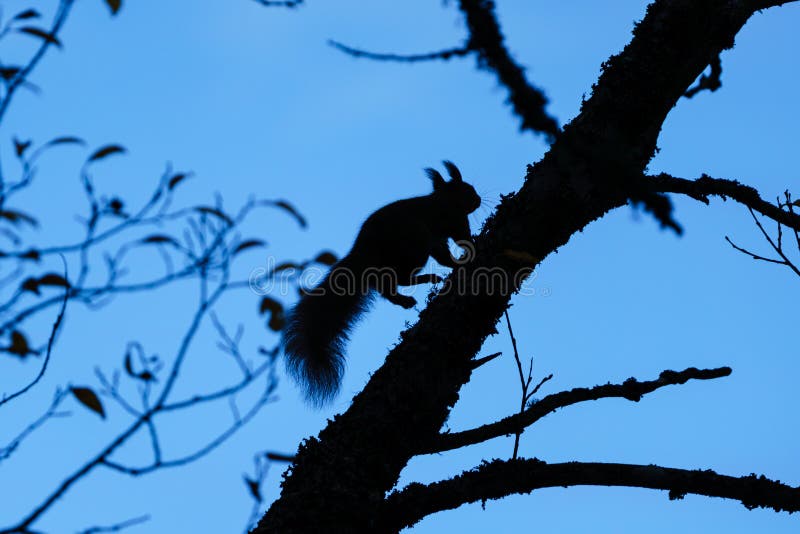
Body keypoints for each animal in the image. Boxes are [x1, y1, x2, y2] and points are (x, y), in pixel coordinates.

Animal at [282, 161, 481, 406]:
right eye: (468, 189)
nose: (479, 199)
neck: (443, 200)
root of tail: (364, 251)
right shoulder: (454, 222)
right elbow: (462, 240)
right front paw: (469, 250)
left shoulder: (438, 241)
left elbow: (444, 256)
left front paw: (456, 262)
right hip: (414, 245)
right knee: (395, 280)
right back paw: (416, 288)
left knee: (384, 285)